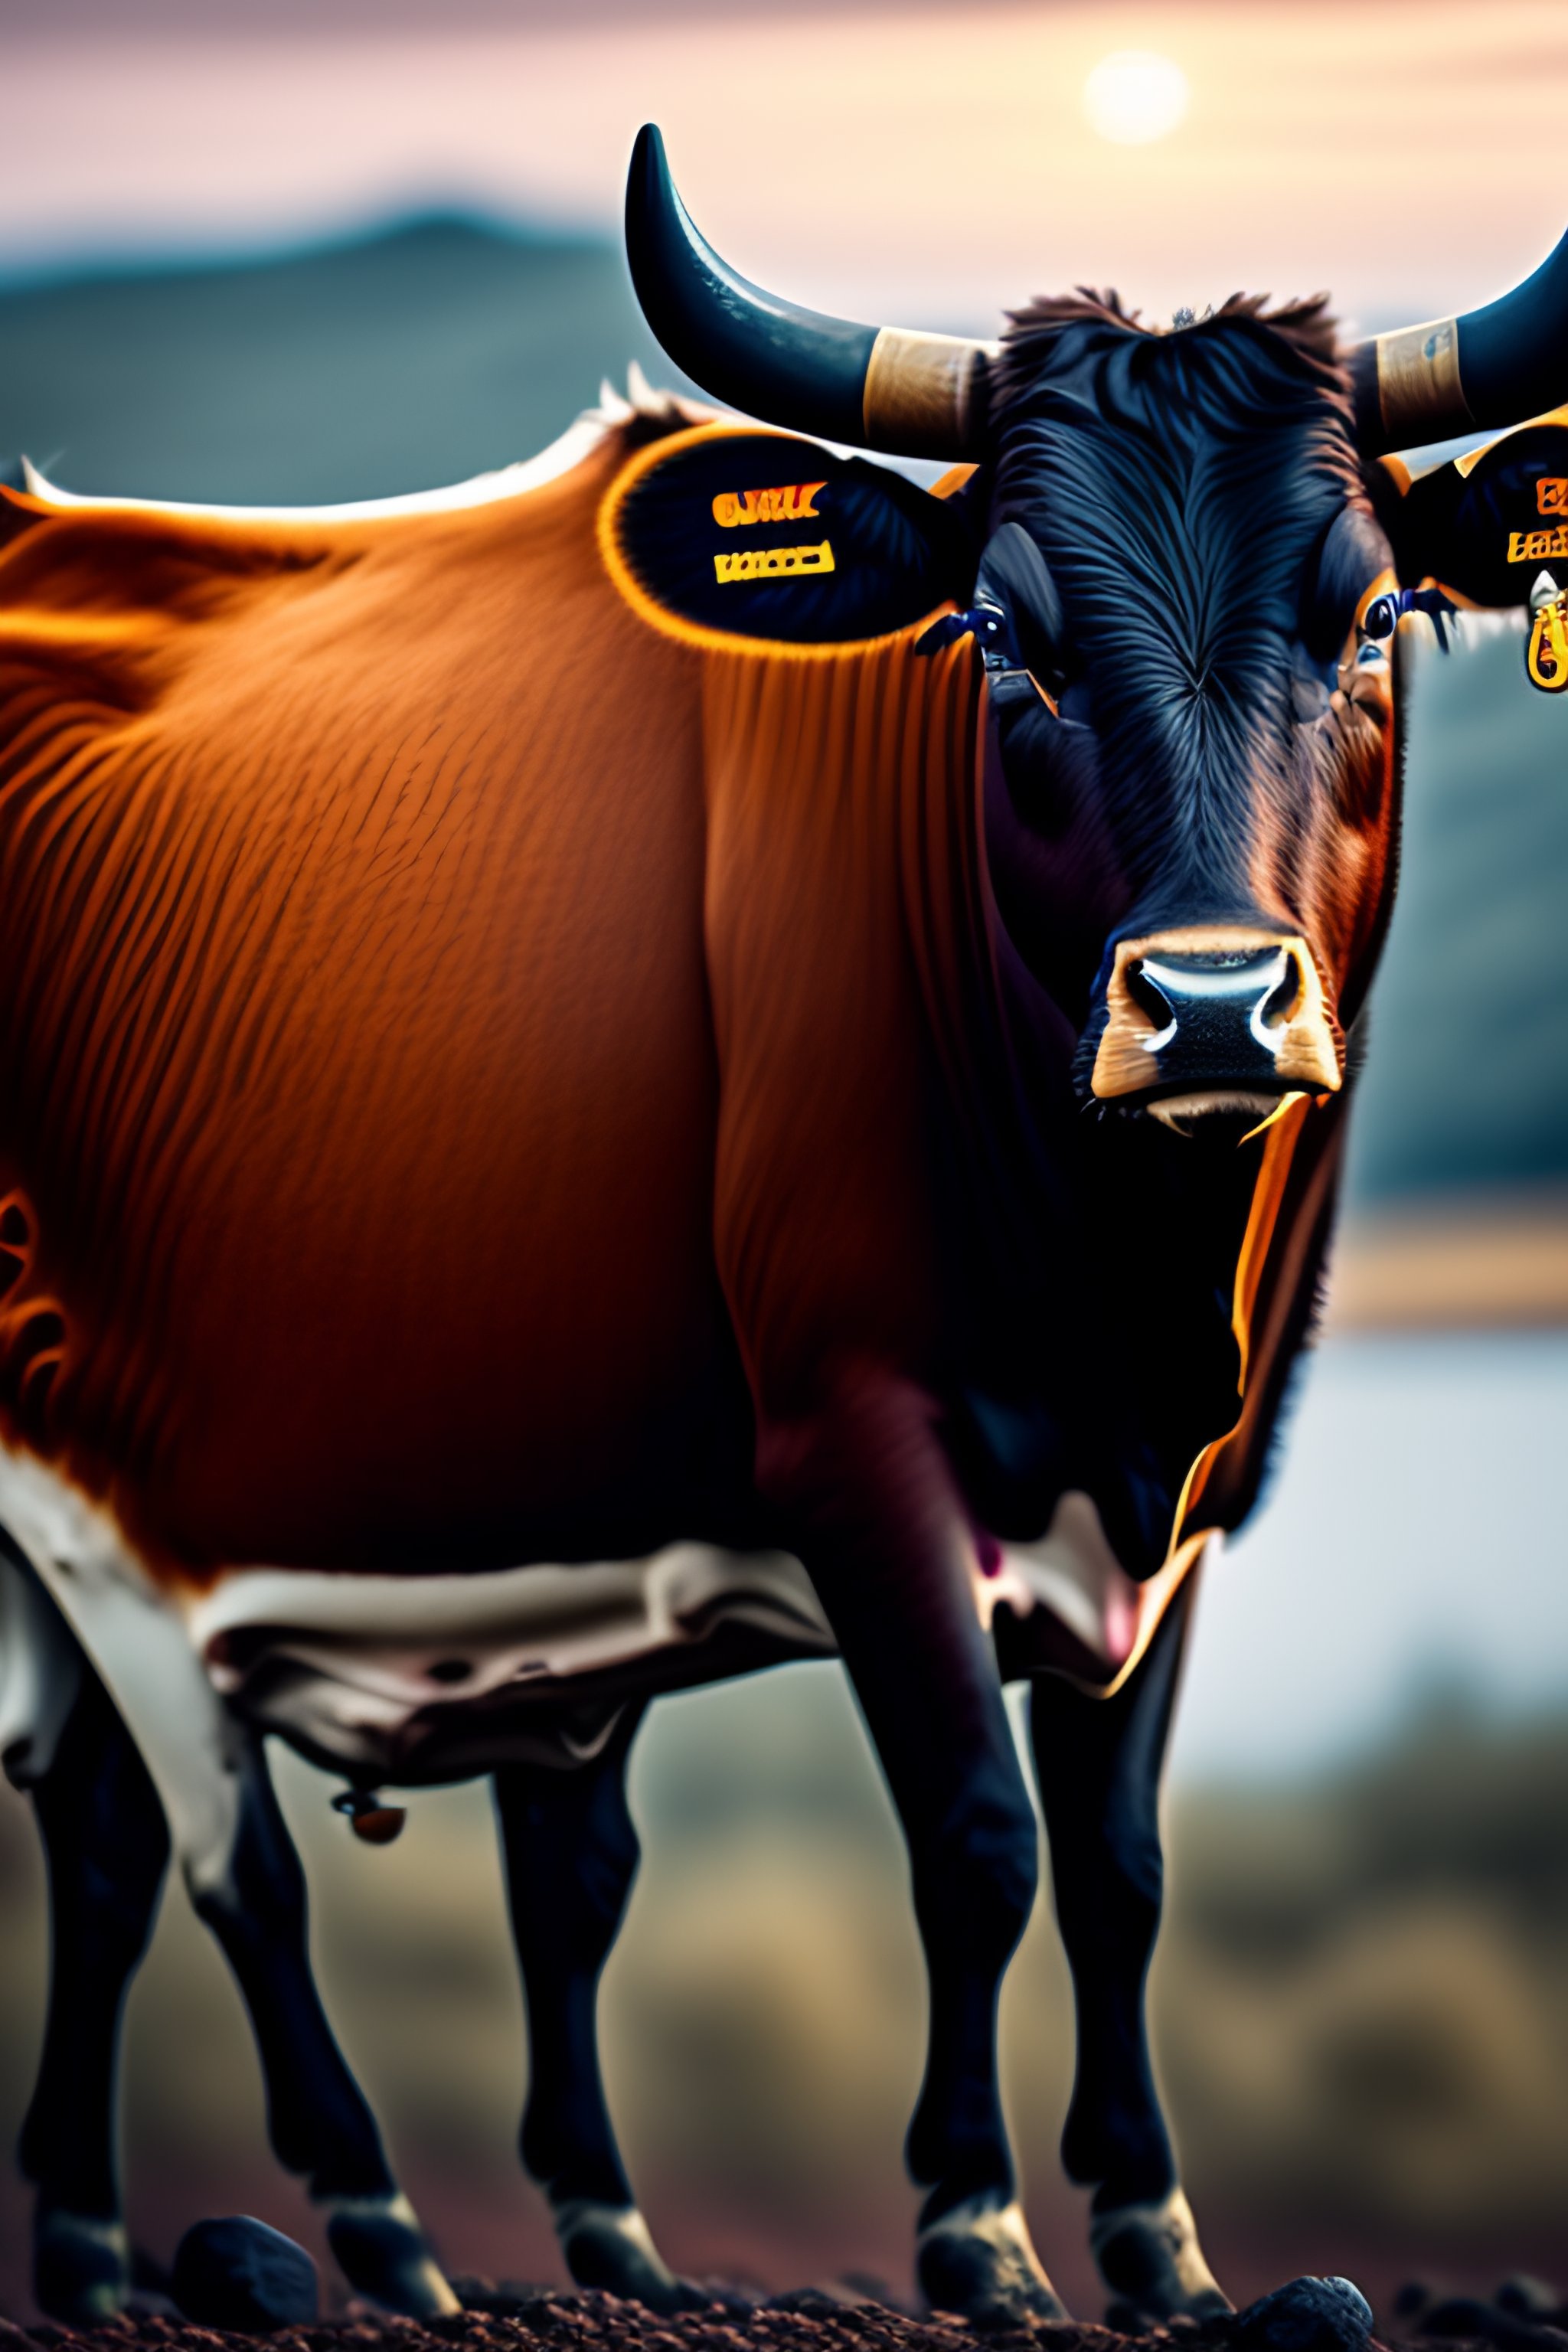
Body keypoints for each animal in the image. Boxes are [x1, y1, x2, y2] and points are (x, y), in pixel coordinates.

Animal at [1, 122, 1566, 2331]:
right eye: (998, 635)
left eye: (1371, 621)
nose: (1206, 1004)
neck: (1133, 1299)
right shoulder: (854, 1439)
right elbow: (979, 1832)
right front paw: (975, 2219)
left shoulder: (1180, 1495)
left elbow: (1118, 1862)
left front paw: (1156, 2229)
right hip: (103, 1502)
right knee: (231, 1857)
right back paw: (370, 2213)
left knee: (116, 1835)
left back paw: (122, 2220)